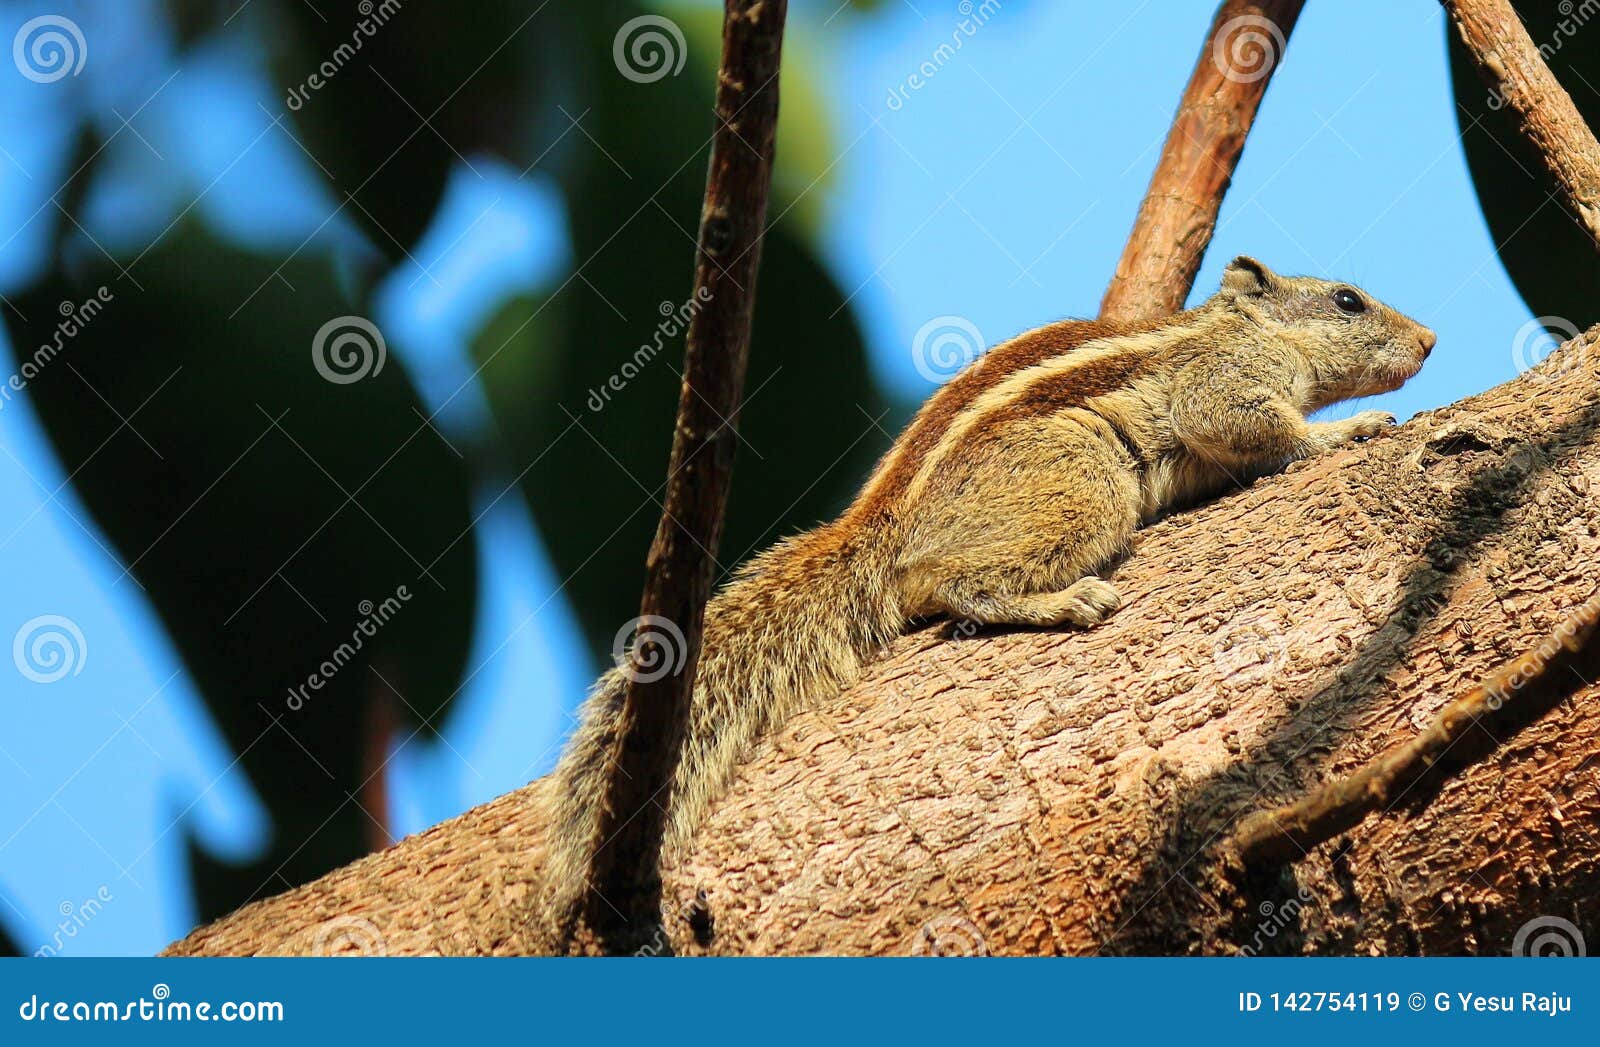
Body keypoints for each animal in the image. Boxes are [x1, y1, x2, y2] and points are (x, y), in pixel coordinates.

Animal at [546, 256, 1436, 918]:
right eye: (1348, 299)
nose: (1429, 338)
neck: (1232, 327)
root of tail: (880, 528)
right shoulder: (1220, 384)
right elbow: (1256, 425)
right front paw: (1345, 431)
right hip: (1082, 482)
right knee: (947, 582)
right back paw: (1064, 600)